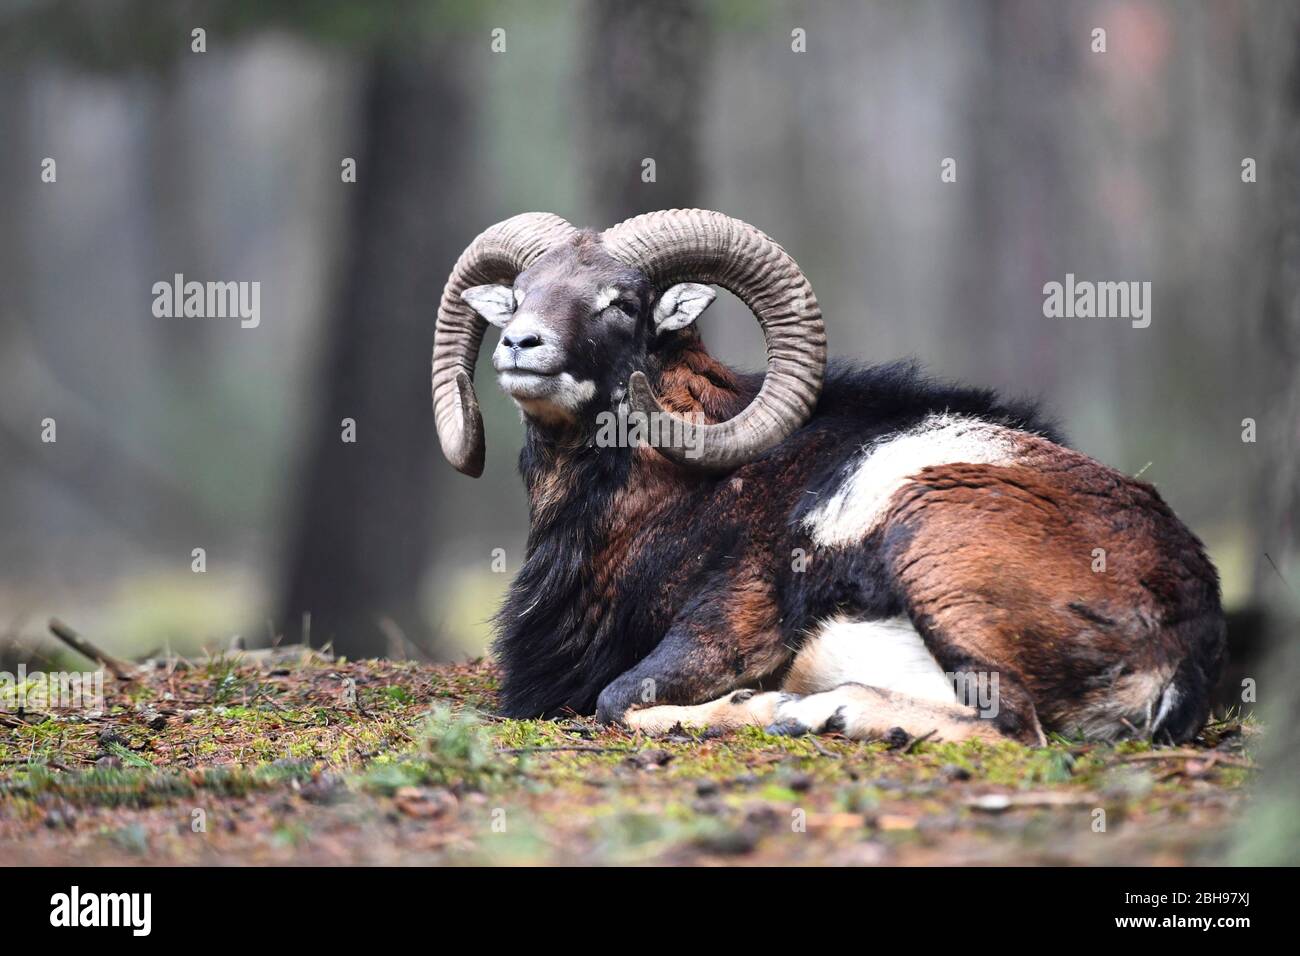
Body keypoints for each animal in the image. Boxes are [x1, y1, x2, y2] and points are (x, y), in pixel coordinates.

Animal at [432, 209, 1225, 745]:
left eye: (621, 302)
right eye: (521, 292)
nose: (520, 344)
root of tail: (1181, 636)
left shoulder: (726, 631)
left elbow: (616, 699)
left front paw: (754, 706)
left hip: (932, 555)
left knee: (1012, 727)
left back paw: (811, 711)